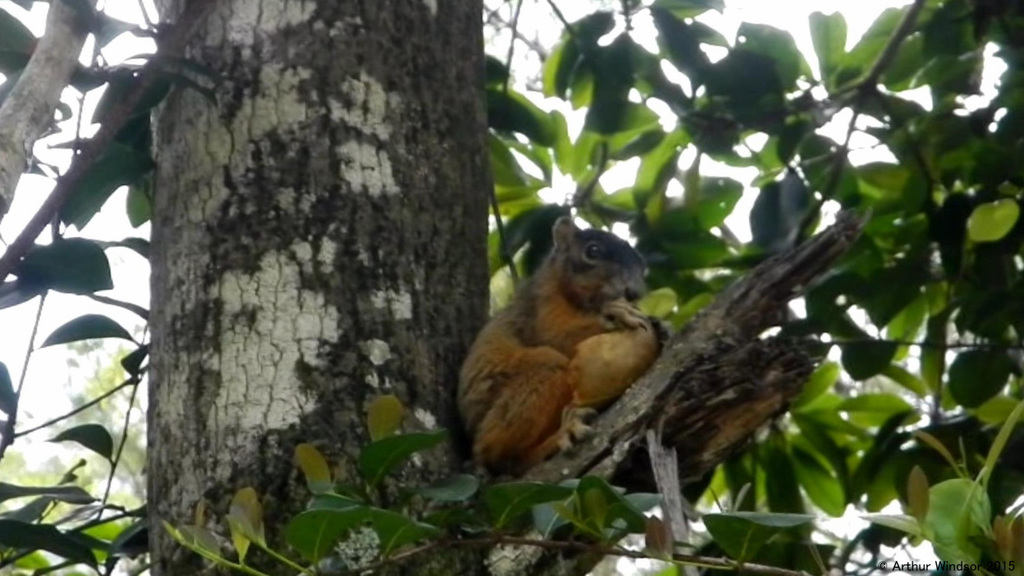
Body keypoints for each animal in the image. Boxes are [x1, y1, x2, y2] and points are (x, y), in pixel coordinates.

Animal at [458, 216, 664, 475]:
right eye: (592, 251)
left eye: (642, 268)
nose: (633, 292)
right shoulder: (540, 308)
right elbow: (555, 337)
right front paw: (612, 312)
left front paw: (662, 327)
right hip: (536, 377)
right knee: (500, 457)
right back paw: (559, 436)